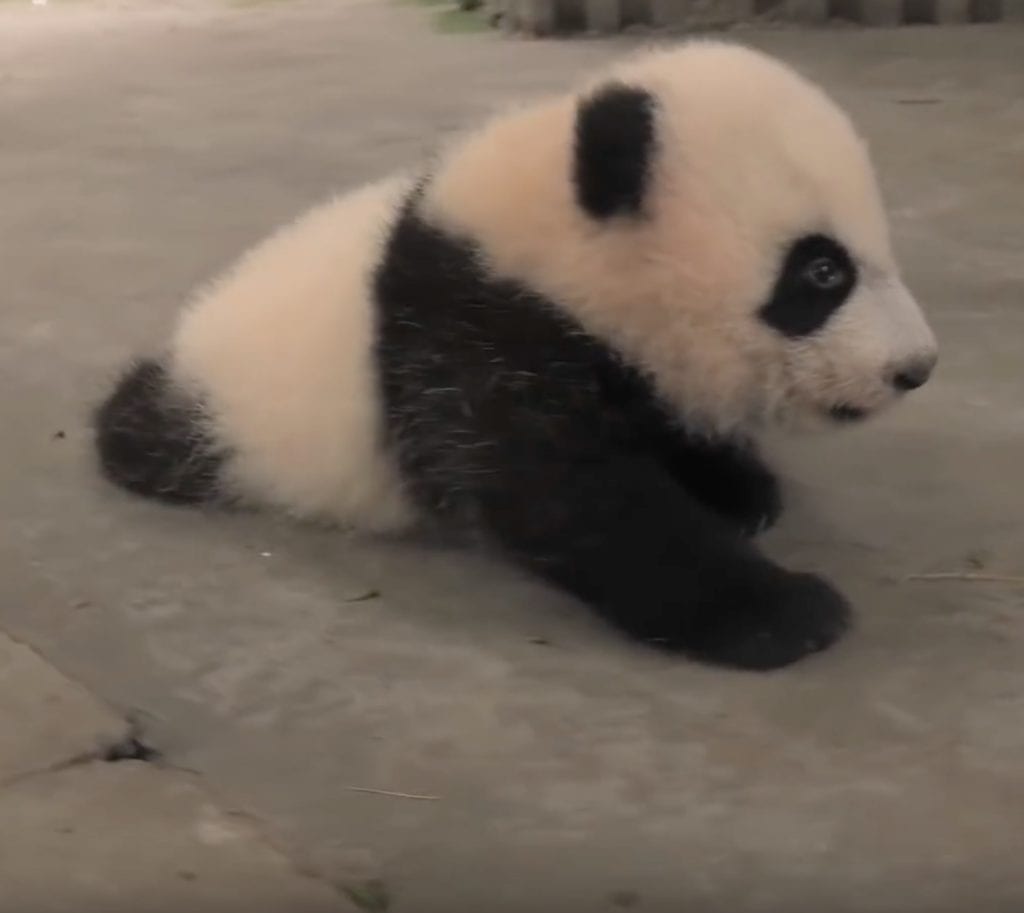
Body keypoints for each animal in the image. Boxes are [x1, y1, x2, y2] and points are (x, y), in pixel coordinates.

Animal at [94, 42, 938, 671]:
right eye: (822, 272)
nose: (916, 368)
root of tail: (191, 333)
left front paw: (736, 483)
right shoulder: (475, 332)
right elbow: (569, 495)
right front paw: (784, 611)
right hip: (218, 415)